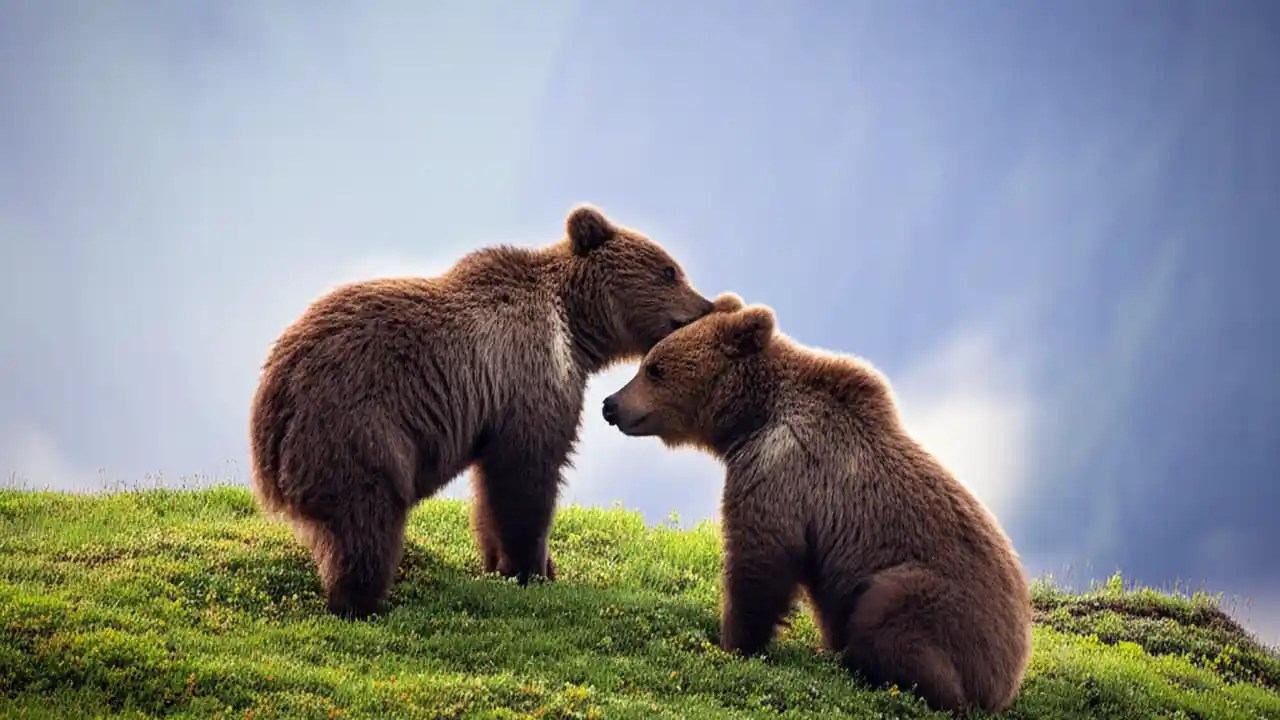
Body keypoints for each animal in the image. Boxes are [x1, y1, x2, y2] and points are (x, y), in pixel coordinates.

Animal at [249, 205, 714, 618]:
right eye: (670, 271)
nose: (707, 306)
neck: (575, 326)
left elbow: (493, 486)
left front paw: (506, 565)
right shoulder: (528, 371)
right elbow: (527, 473)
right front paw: (531, 568)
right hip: (354, 426)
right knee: (365, 517)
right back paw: (361, 601)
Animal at [600, 294, 1033, 713]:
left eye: (654, 368)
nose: (610, 404)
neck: (754, 415)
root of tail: (1008, 677)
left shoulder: (782, 466)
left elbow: (760, 558)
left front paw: (735, 642)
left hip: (936, 602)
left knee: (893, 620)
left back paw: (862, 662)